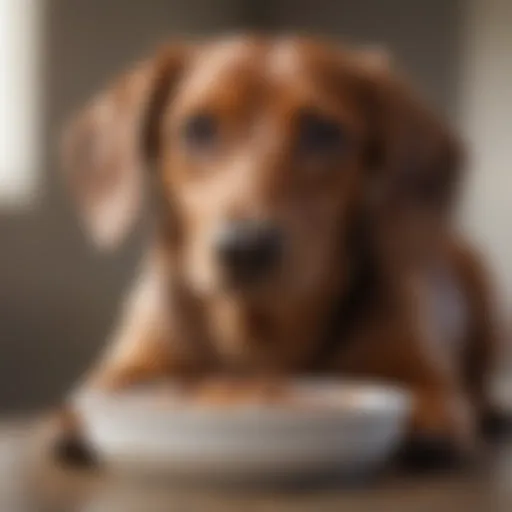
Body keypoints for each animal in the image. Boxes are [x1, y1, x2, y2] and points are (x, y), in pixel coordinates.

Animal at [55, 35, 500, 468]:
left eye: (323, 132)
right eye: (198, 128)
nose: (246, 248)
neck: (261, 331)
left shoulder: (421, 372)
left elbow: (424, 394)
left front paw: (425, 423)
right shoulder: (133, 362)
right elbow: (109, 387)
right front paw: (79, 419)